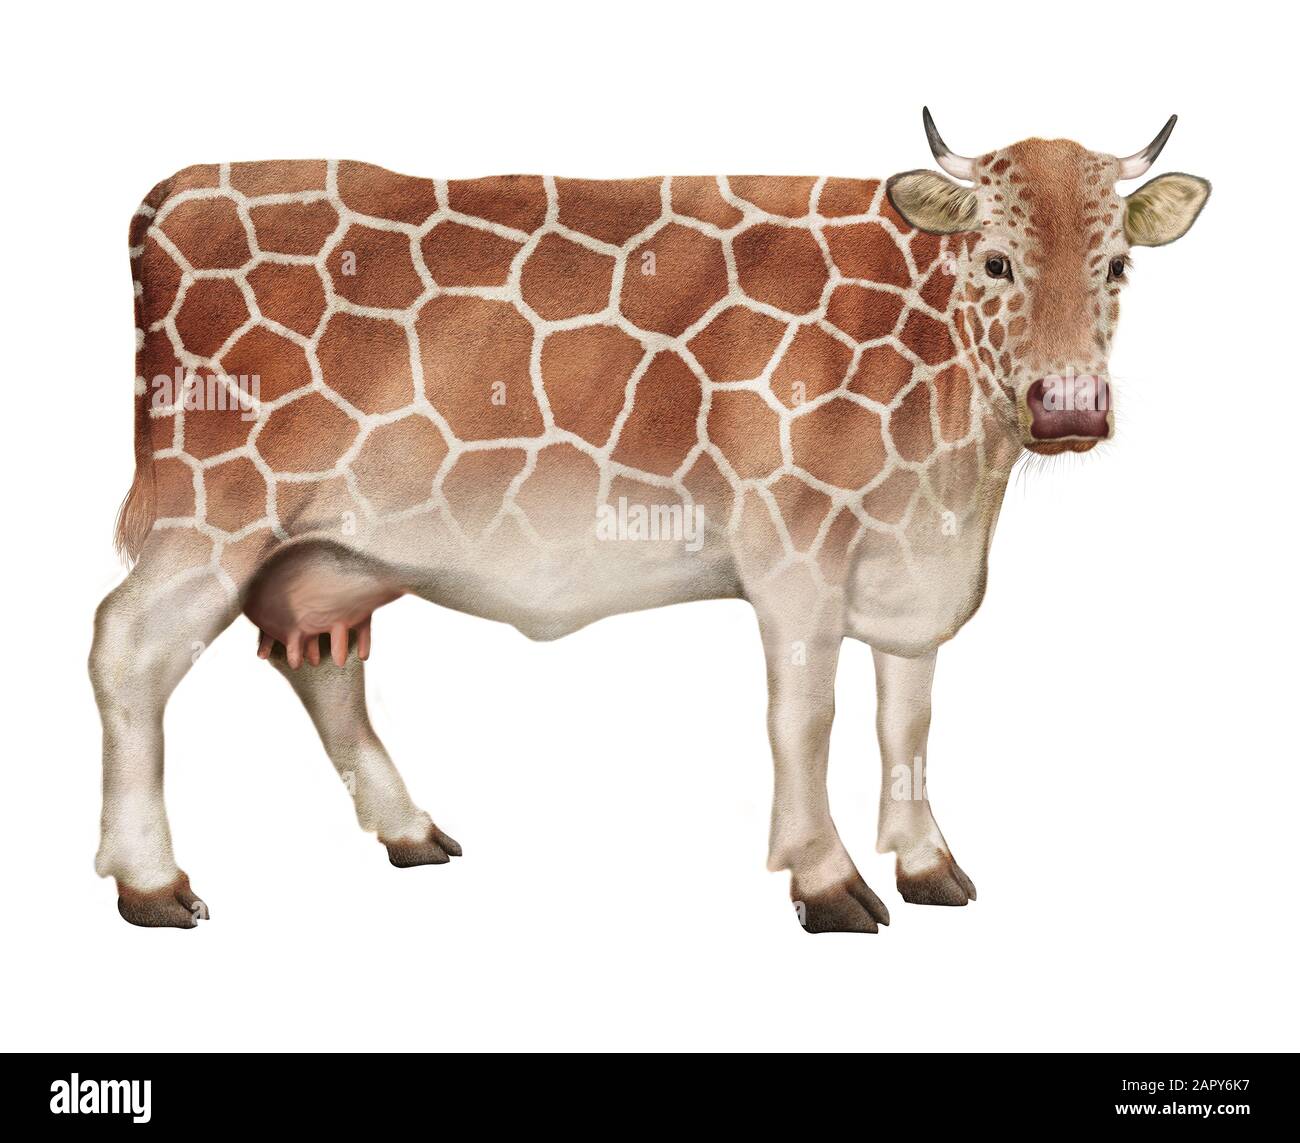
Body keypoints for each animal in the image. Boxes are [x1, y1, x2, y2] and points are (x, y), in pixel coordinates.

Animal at [90, 110, 1209, 930]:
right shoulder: (793, 552)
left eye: (1116, 266)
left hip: (330, 547)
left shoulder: (908, 559)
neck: (954, 478)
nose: (1069, 406)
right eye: (994, 263)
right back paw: (151, 881)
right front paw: (825, 879)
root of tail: (179, 189)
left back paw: (408, 829)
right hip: (211, 513)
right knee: (126, 647)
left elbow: (908, 715)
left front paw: (929, 863)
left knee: (321, 664)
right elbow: (805, 715)